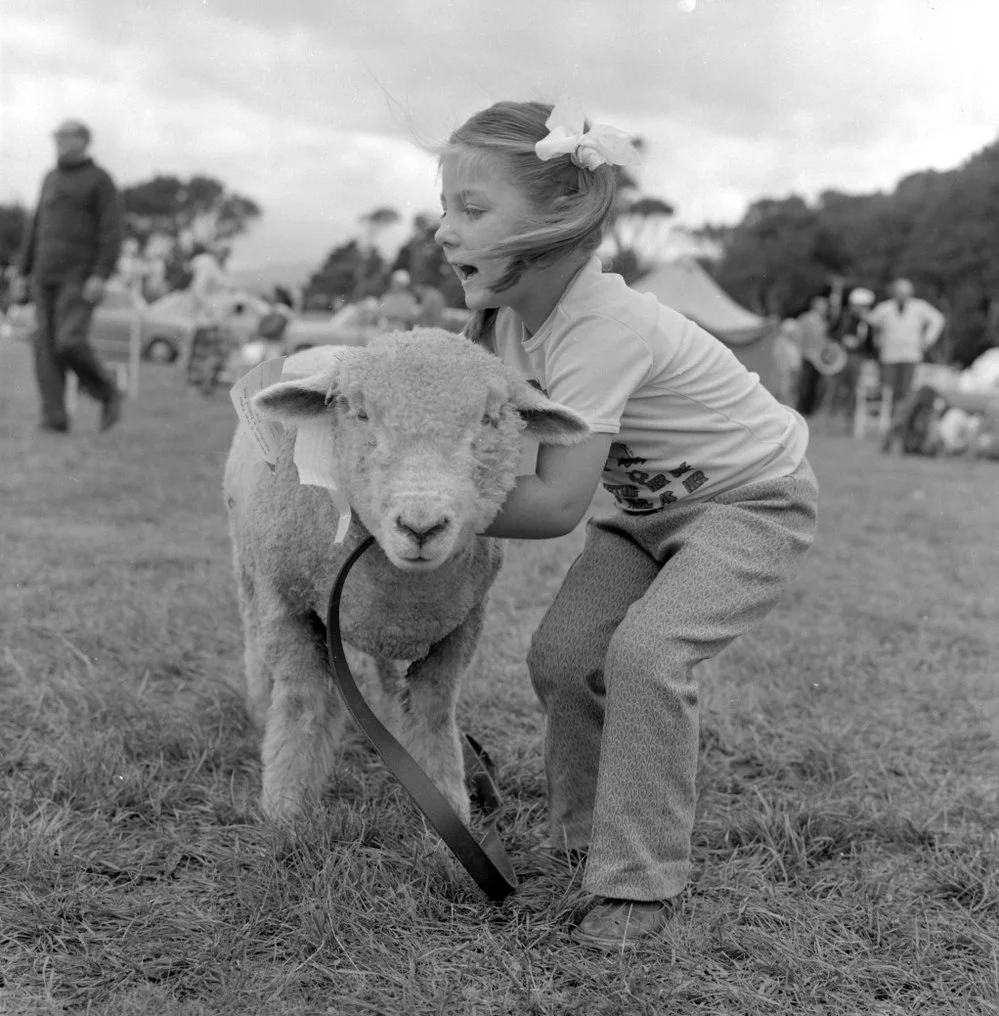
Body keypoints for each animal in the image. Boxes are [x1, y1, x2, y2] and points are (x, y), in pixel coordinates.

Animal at [223, 328, 589, 824]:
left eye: (490, 419)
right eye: (359, 413)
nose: (421, 527)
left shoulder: (462, 625)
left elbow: (432, 710)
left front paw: (445, 802)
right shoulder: (289, 607)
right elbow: (304, 701)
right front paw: (287, 808)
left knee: (390, 677)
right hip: (250, 571)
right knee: (255, 642)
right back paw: (261, 708)